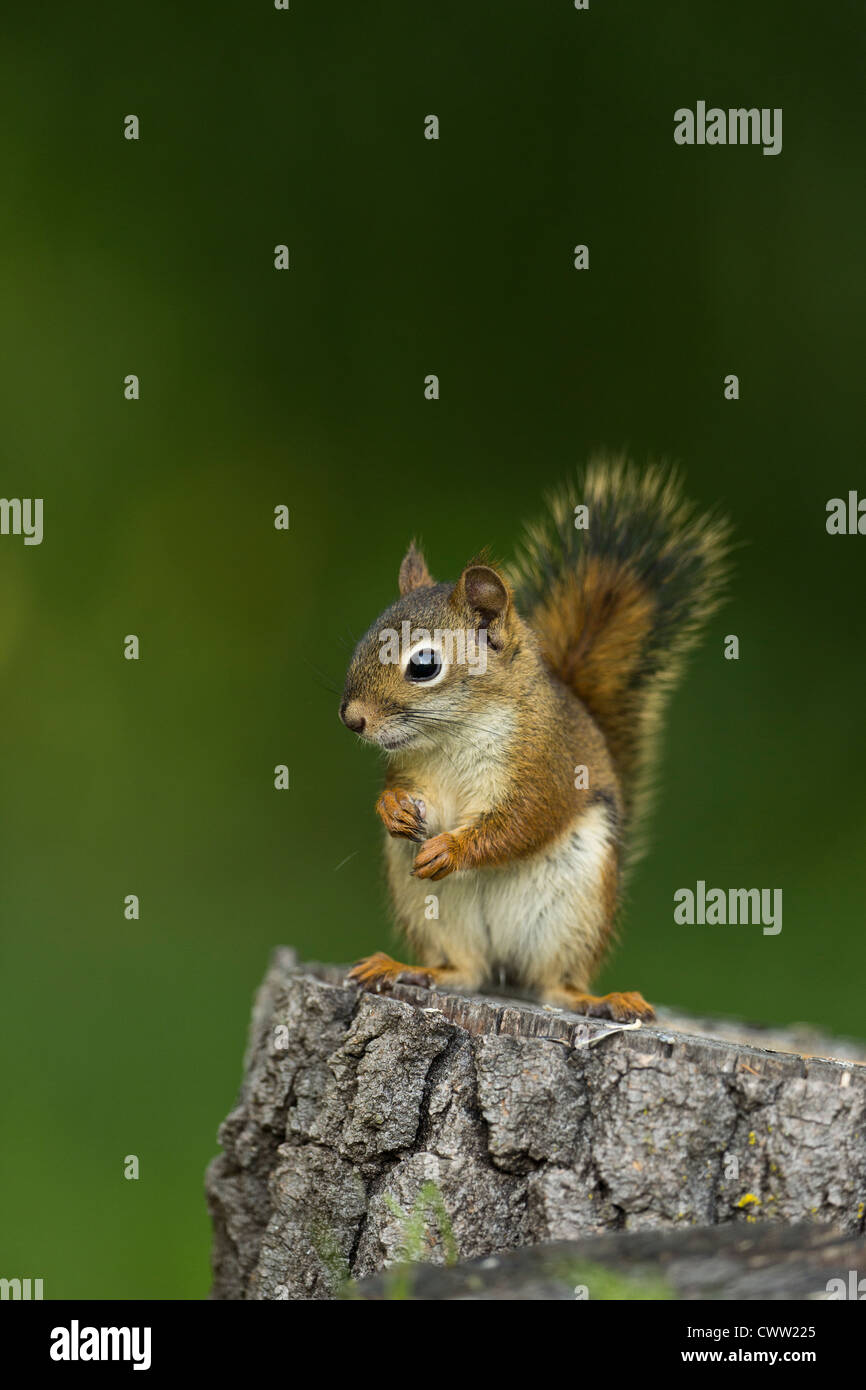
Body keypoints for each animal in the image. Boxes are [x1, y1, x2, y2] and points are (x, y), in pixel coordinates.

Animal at [339, 457, 730, 1021]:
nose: (351, 719)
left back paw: (601, 999)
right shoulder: (410, 767)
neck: (454, 734)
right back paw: (409, 968)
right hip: (434, 914)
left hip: (574, 912)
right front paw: (391, 809)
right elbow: (399, 793)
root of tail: (506, 967)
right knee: (464, 971)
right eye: (364, 641)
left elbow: (525, 820)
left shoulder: (548, 763)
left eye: (424, 664)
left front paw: (452, 850)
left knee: (555, 985)